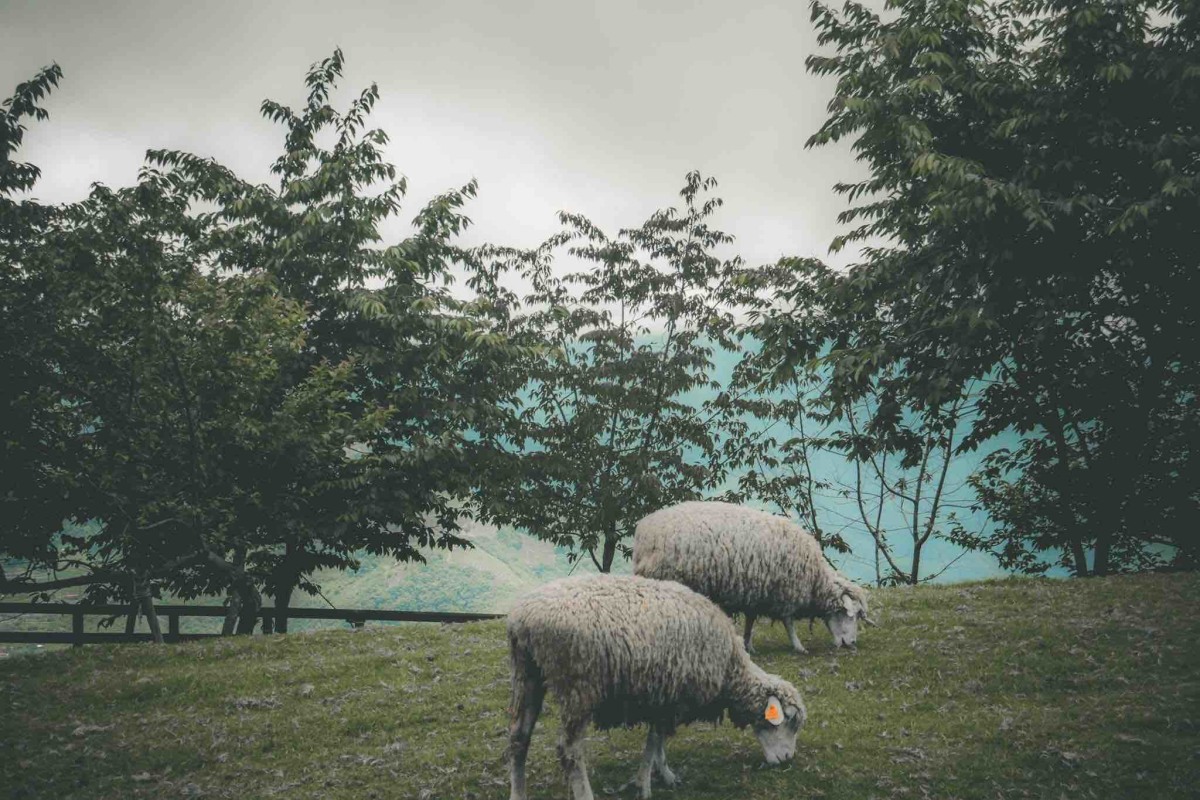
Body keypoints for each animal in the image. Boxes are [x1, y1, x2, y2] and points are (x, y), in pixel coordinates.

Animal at [507, 574, 806, 800]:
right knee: (569, 751)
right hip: (578, 687)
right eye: (787, 721)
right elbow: (653, 741)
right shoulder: (669, 695)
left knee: (519, 738)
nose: (787, 759)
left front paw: (663, 773)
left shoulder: (663, 695)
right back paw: (584, 794)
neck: (729, 668)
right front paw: (645, 783)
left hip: (528, 675)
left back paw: (518, 794)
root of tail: (523, 618)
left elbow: (658, 739)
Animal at [633, 500, 874, 654]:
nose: (852, 643)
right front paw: (798, 646)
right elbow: (788, 623)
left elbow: (750, 622)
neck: (814, 578)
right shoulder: (785, 592)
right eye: (849, 615)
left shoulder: (755, 593)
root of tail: (645, 530)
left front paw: (748, 645)